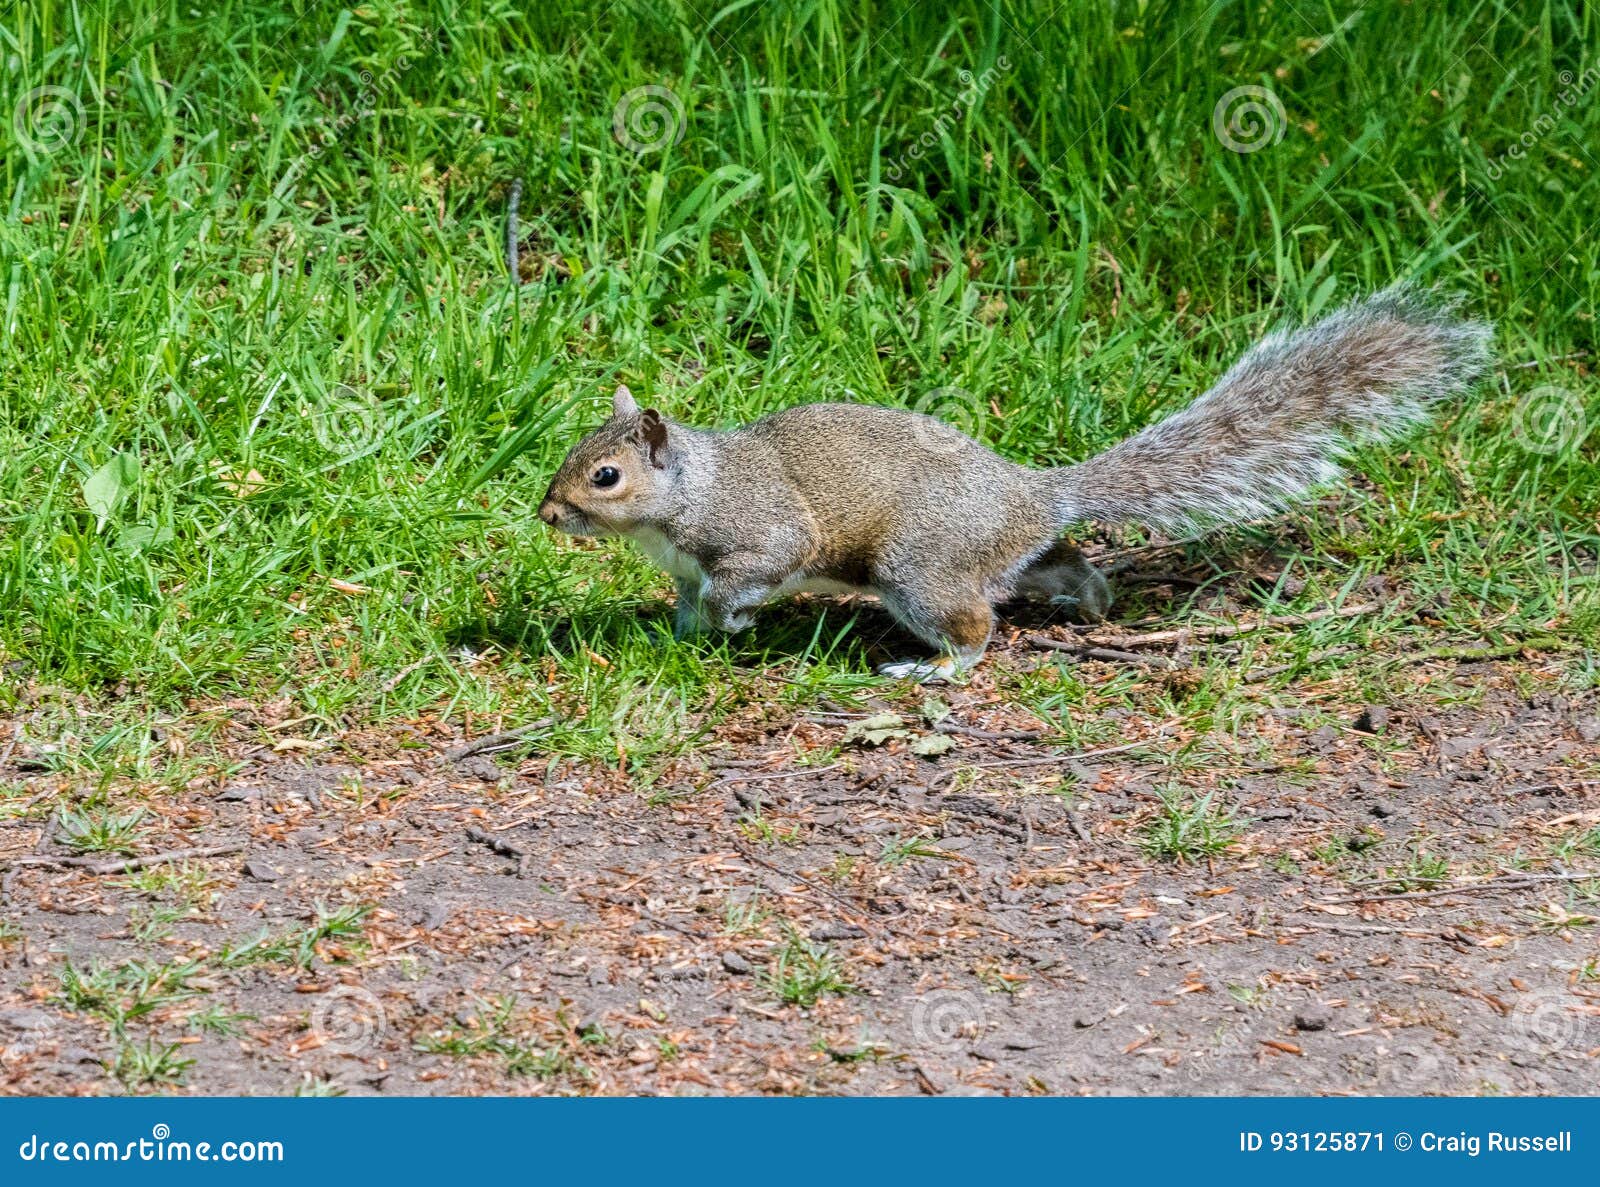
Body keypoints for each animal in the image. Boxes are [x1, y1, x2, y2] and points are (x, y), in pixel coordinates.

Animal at [538, 288, 1491, 680]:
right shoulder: (686, 568)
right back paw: (1092, 600)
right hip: (1006, 551)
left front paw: (730, 625)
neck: (689, 490)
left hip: (918, 569)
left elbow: (749, 576)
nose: (547, 513)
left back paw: (932, 669)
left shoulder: (759, 535)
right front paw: (677, 638)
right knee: (1058, 563)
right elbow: (688, 607)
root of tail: (1037, 493)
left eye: (606, 475)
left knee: (975, 626)